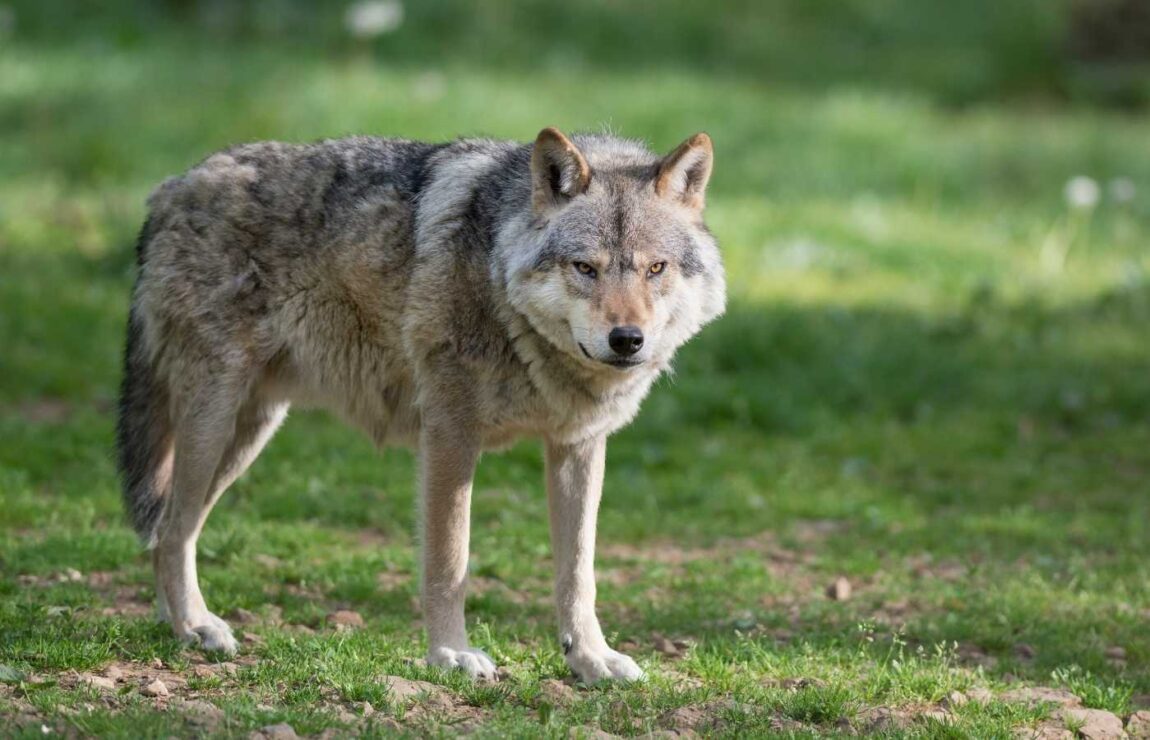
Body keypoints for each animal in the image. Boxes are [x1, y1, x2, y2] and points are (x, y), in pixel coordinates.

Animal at [116, 127, 725, 682]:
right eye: (585, 268)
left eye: (655, 269)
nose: (627, 340)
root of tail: (170, 188)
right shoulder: (450, 434)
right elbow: (449, 560)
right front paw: (451, 654)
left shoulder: (577, 445)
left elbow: (579, 572)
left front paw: (591, 660)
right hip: (215, 424)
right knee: (171, 529)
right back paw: (195, 626)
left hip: (249, 433)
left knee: (169, 530)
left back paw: (178, 625)